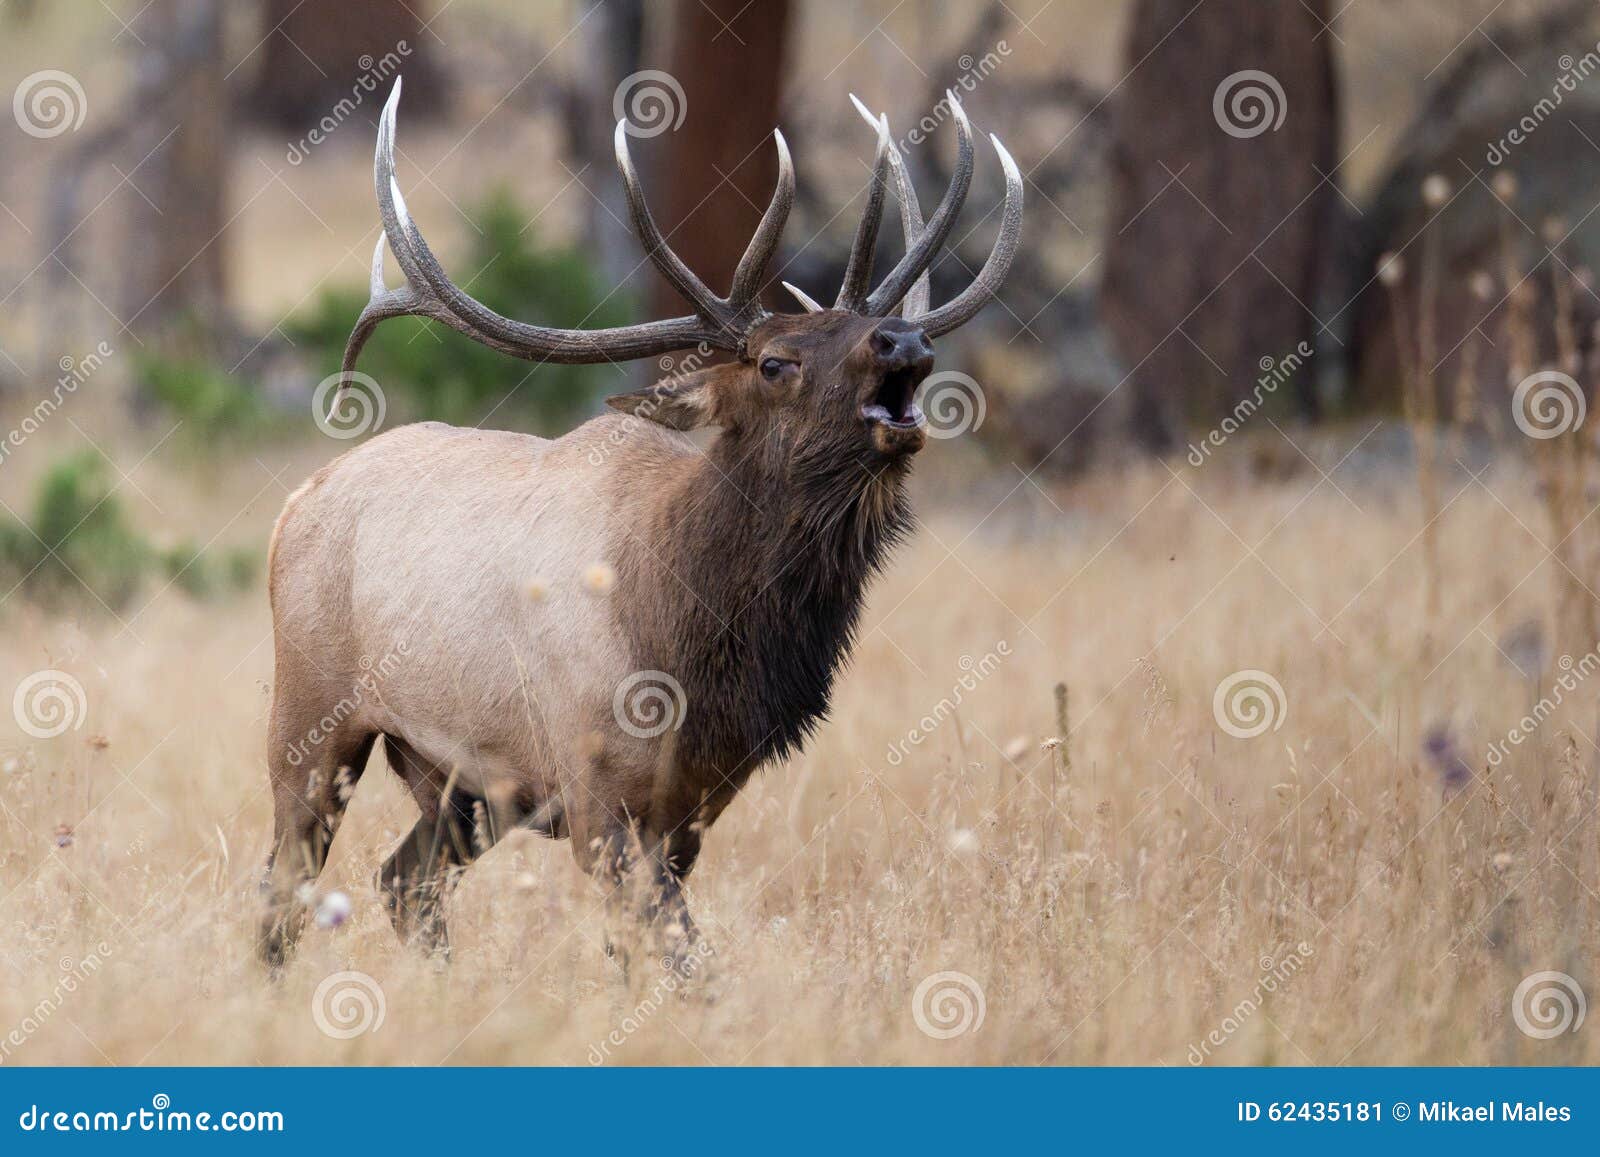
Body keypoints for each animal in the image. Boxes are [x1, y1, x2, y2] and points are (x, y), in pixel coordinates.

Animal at [258, 77, 1021, 973]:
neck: (690, 636)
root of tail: (295, 503)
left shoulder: (692, 806)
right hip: (311, 716)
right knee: (285, 886)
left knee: (401, 879)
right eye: (775, 361)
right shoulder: (597, 793)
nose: (903, 336)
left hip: (464, 784)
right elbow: (680, 958)